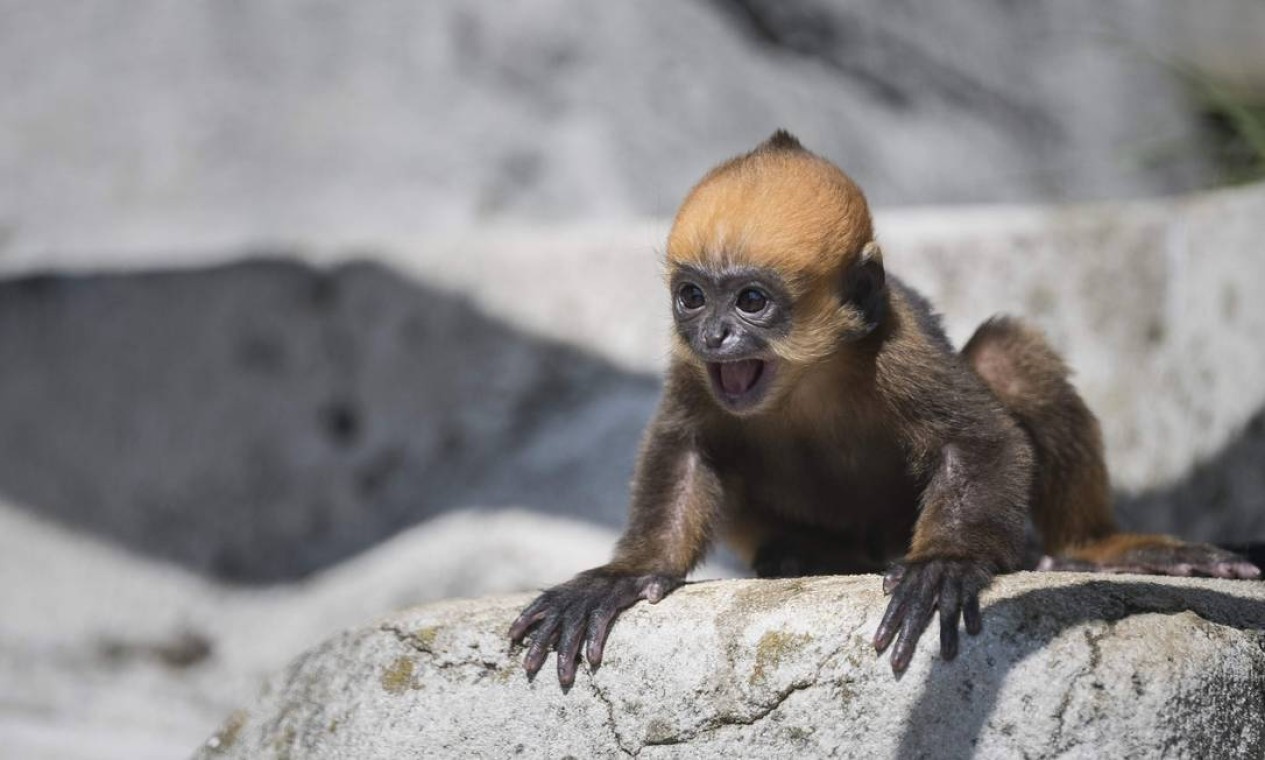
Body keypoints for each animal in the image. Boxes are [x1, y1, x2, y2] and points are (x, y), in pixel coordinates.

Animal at [508, 130, 1261, 687]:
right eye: (692, 297)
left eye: (750, 301)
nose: (713, 336)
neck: (803, 380)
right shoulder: (696, 373)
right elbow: (685, 449)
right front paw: (624, 575)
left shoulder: (898, 348)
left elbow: (981, 441)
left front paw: (945, 563)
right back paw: (800, 553)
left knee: (1006, 353)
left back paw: (1092, 547)